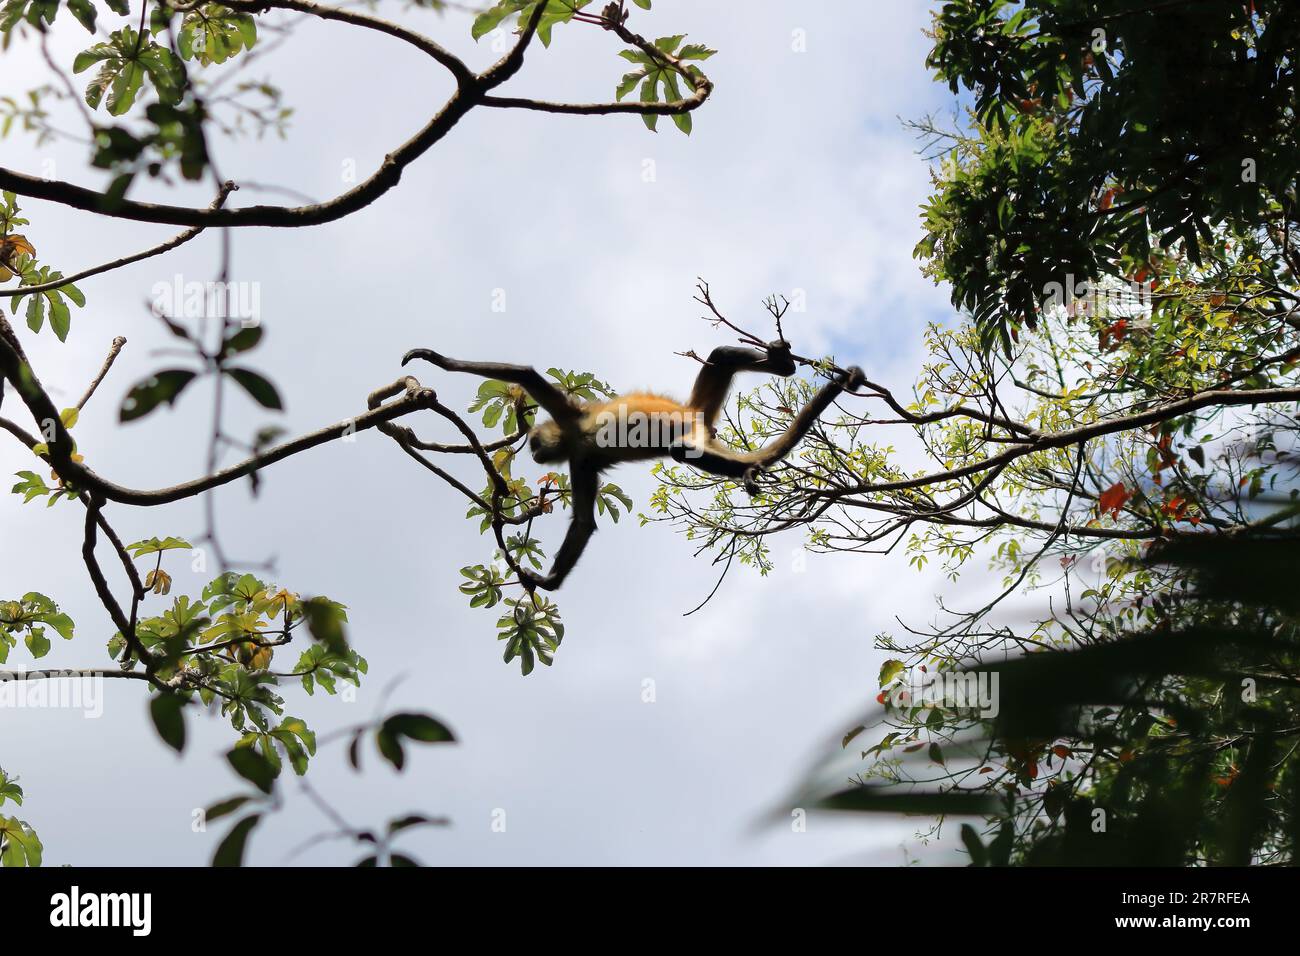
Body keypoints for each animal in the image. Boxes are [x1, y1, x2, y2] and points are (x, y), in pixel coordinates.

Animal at [402, 343, 864, 591]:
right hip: (703, 416)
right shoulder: (582, 460)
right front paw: (548, 583)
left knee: (684, 438)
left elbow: (525, 374)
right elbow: (584, 522)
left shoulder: (569, 414)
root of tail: (697, 420)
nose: (531, 455)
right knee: (717, 360)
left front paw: (435, 359)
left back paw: (781, 370)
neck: (577, 435)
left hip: (694, 419)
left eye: (533, 443)